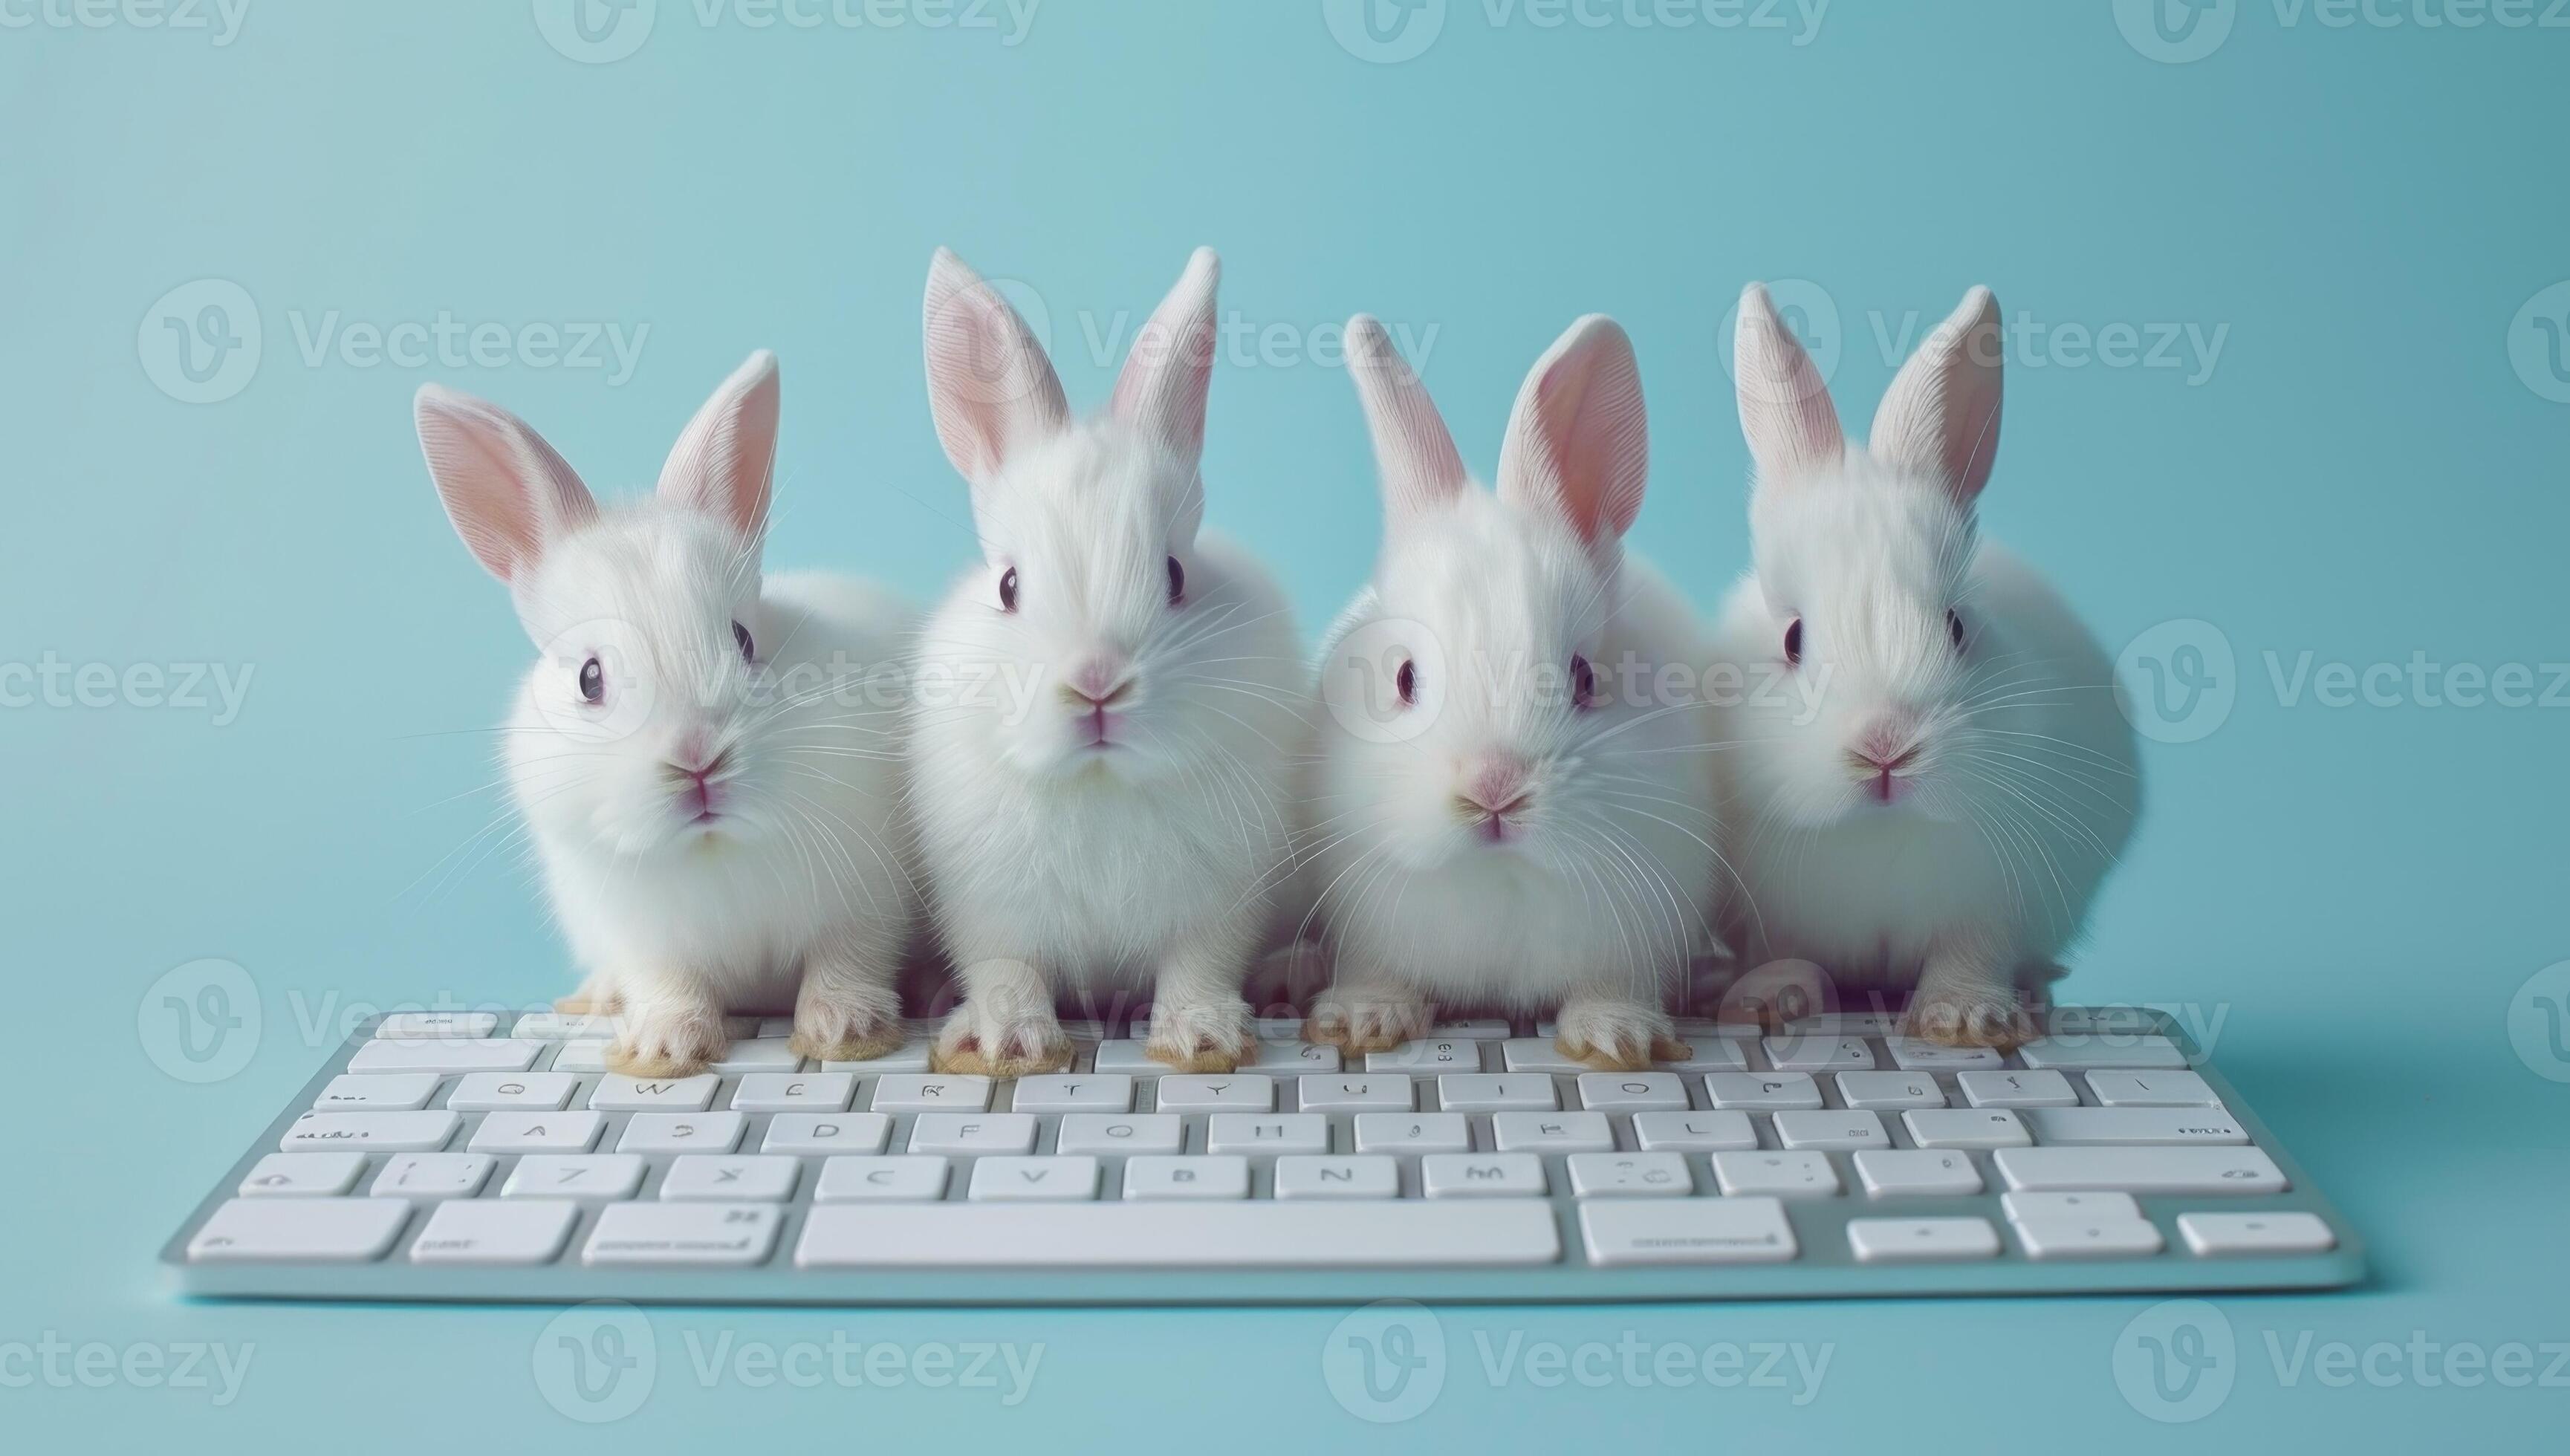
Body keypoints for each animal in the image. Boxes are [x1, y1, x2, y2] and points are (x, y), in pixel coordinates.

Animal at [416, 352, 918, 1077]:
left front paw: (844, 1028)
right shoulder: (641, 934)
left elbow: (845, 961)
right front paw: (665, 1044)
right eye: (589, 678)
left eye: (743, 639)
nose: (697, 758)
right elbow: (668, 983)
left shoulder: (867, 900)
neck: (715, 849)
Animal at [906, 247, 1308, 1076]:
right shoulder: (985, 905)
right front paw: (1010, 1039)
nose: (1096, 684)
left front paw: (1201, 1035)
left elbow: (1198, 964)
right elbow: (1006, 968)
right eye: (1009, 586)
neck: (1100, 781)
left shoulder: (1221, 900)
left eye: (1176, 575)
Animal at [1299, 314, 1730, 1072]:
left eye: (1585, 678)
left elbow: (1615, 985)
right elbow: (1376, 971)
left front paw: (1616, 1035)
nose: (1493, 787)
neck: (1501, 876)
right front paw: (1361, 1018)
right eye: (1404, 679)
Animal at [1710, 283, 2142, 1047]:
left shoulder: (1993, 903)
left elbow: (1968, 953)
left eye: (1957, 626)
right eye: (1792, 638)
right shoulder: (1766, 917)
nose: (1885, 748)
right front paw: (1771, 1000)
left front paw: (1965, 1017)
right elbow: (1785, 955)